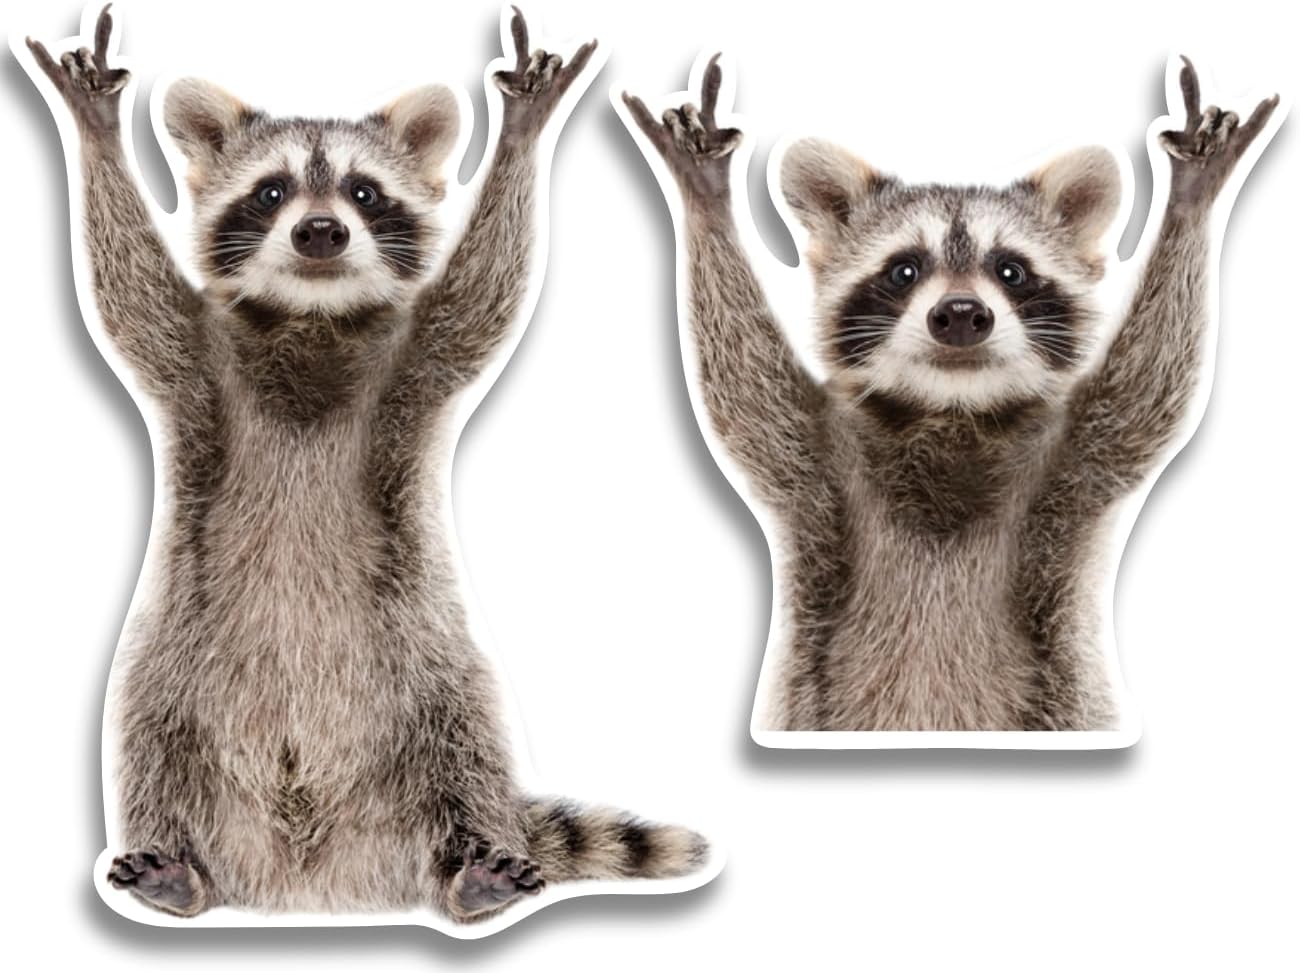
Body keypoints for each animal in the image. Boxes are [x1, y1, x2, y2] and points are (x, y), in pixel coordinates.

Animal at [25, 7, 706, 923]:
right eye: (272, 191)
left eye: (362, 192)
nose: (320, 232)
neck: (310, 318)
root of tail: (313, 878)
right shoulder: (196, 357)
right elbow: (130, 294)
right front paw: (97, 127)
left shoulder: (413, 360)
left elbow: (483, 294)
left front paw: (522, 134)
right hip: (177, 655)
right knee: (149, 729)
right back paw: (179, 869)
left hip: (429, 668)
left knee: (468, 740)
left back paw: (469, 871)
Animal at [623, 56, 1281, 732]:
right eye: (904, 270)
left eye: (1011, 271)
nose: (962, 315)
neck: (950, 410)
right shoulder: (815, 461)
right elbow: (743, 387)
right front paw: (706, 199)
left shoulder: (1074, 461)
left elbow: (1150, 387)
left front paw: (1190, 200)